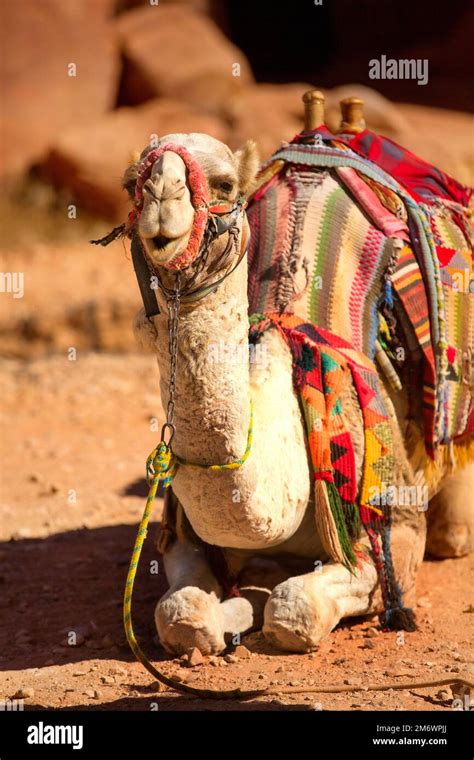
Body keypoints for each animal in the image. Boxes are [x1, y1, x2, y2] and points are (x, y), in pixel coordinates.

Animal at [119, 121, 473, 656]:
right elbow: (180, 614)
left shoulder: (393, 527)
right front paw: (235, 609)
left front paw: (258, 603)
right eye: (132, 185)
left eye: (224, 184)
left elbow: (293, 608)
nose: (162, 199)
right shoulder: (182, 533)